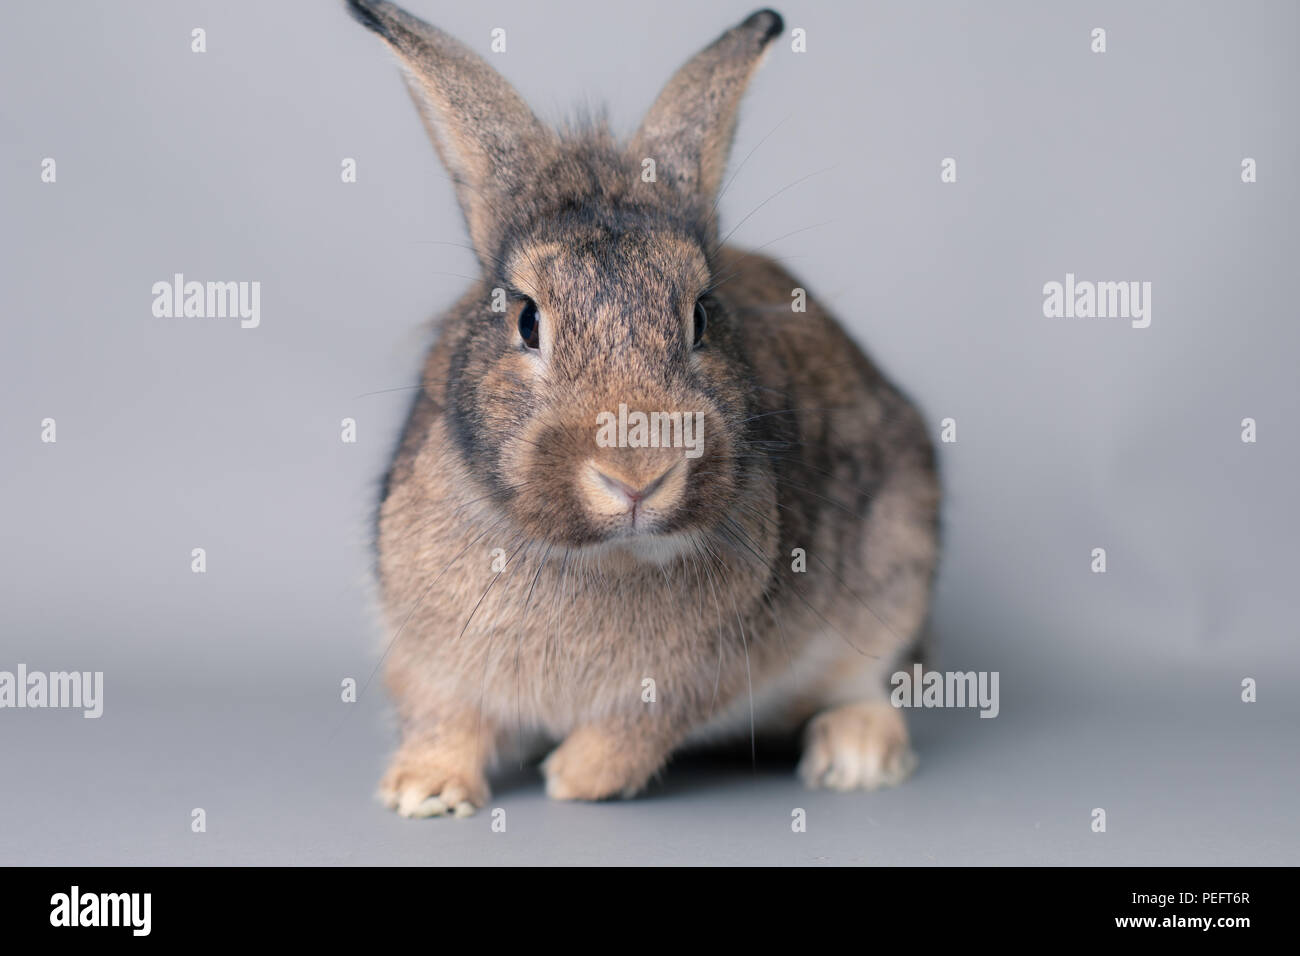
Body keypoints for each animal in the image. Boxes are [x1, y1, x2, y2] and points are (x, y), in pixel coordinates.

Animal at [347, 0, 941, 817]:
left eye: (701, 316)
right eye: (526, 320)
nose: (637, 476)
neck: (598, 554)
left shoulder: (704, 670)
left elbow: (635, 727)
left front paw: (573, 779)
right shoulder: (425, 654)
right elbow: (444, 714)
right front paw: (424, 792)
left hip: (897, 561)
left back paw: (854, 757)